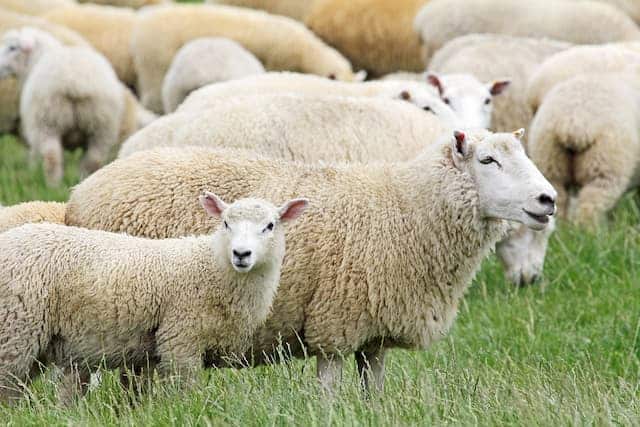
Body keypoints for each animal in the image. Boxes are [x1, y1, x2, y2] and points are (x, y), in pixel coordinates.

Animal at [0, 27, 124, 186]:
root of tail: (75, 81)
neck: (36, 61)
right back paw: (82, 180)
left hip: (48, 121)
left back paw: (52, 186)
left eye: (12, 48)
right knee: (93, 160)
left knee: (52, 157)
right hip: (101, 126)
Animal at [0, 194, 307, 402]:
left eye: (270, 226)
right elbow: (187, 391)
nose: (241, 254)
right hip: (16, 331)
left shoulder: (151, 352)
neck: (211, 268)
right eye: (226, 223)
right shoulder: (181, 339)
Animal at [66, 130, 556, 392]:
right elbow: (330, 393)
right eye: (488, 160)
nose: (547, 199)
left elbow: (373, 393)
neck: (405, 209)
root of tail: (79, 195)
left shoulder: (374, 333)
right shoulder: (336, 323)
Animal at [528, 71, 640, 226]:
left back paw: (562, 227)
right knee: (591, 205)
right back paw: (589, 229)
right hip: (603, 167)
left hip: (550, 162)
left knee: (559, 199)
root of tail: (575, 123)